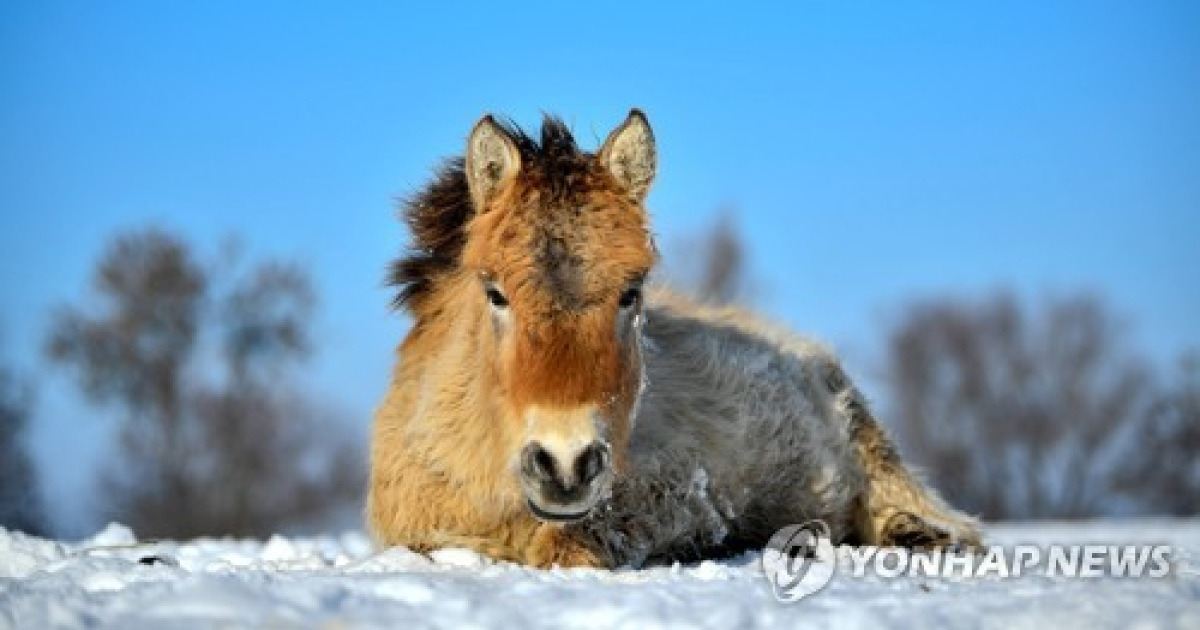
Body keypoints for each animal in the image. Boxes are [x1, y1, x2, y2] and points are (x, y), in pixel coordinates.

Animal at [367, 110, 982, 568]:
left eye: (632, 291)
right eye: (495, 292)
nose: (565, 466)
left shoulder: (674, 496)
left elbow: (568, 547)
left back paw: (917, 532)